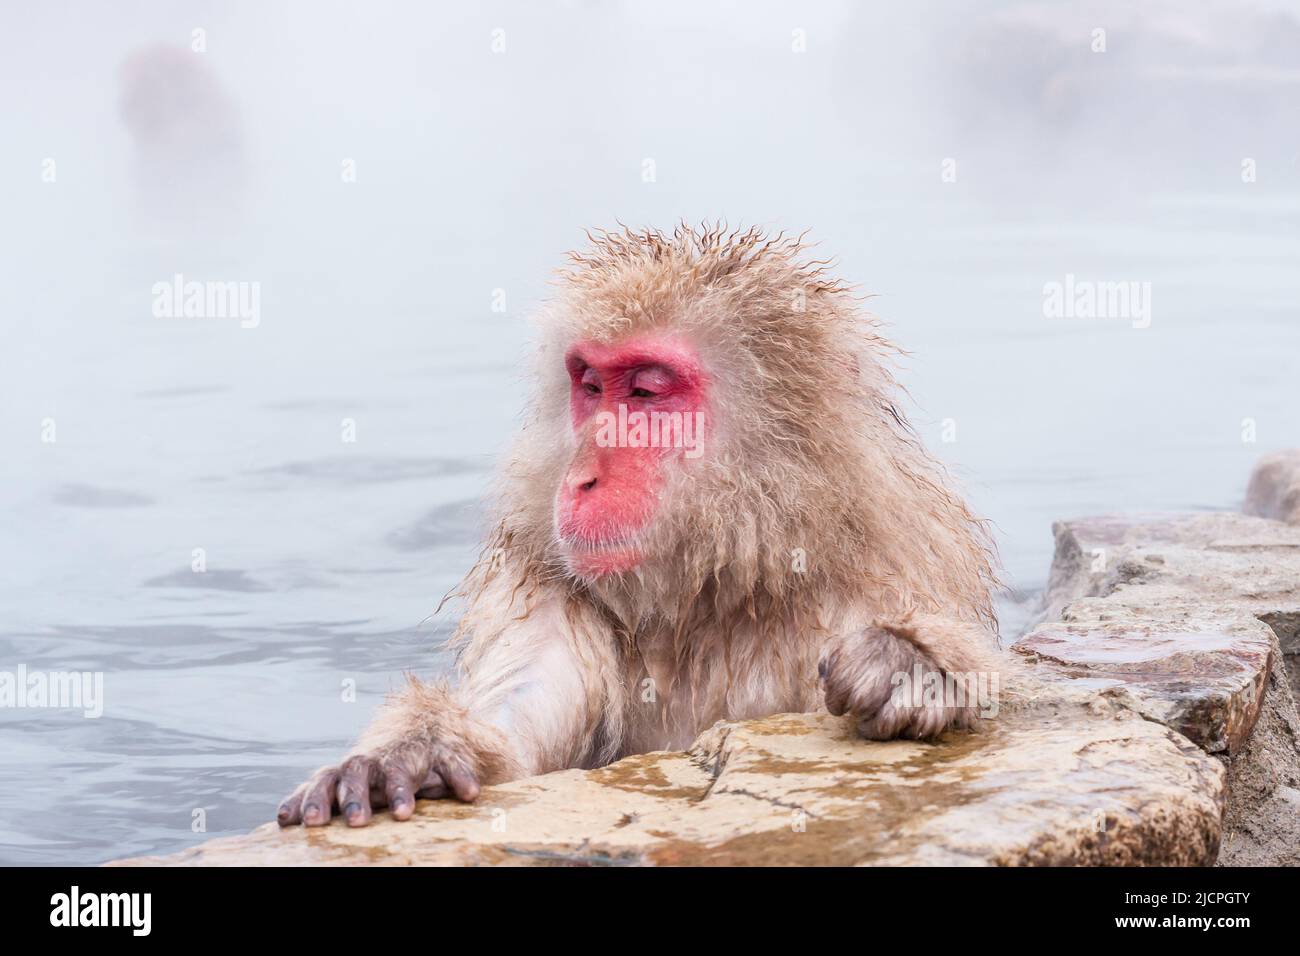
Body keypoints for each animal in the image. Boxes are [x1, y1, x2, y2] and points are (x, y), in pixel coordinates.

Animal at [277, 224, 1004, 828]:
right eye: (592, 386)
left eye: (647, 393)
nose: (581, 476)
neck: (722, 582)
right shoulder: (550, 584)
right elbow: (514, 733)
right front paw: (416, 750)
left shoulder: (879, 573)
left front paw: (910, 660)